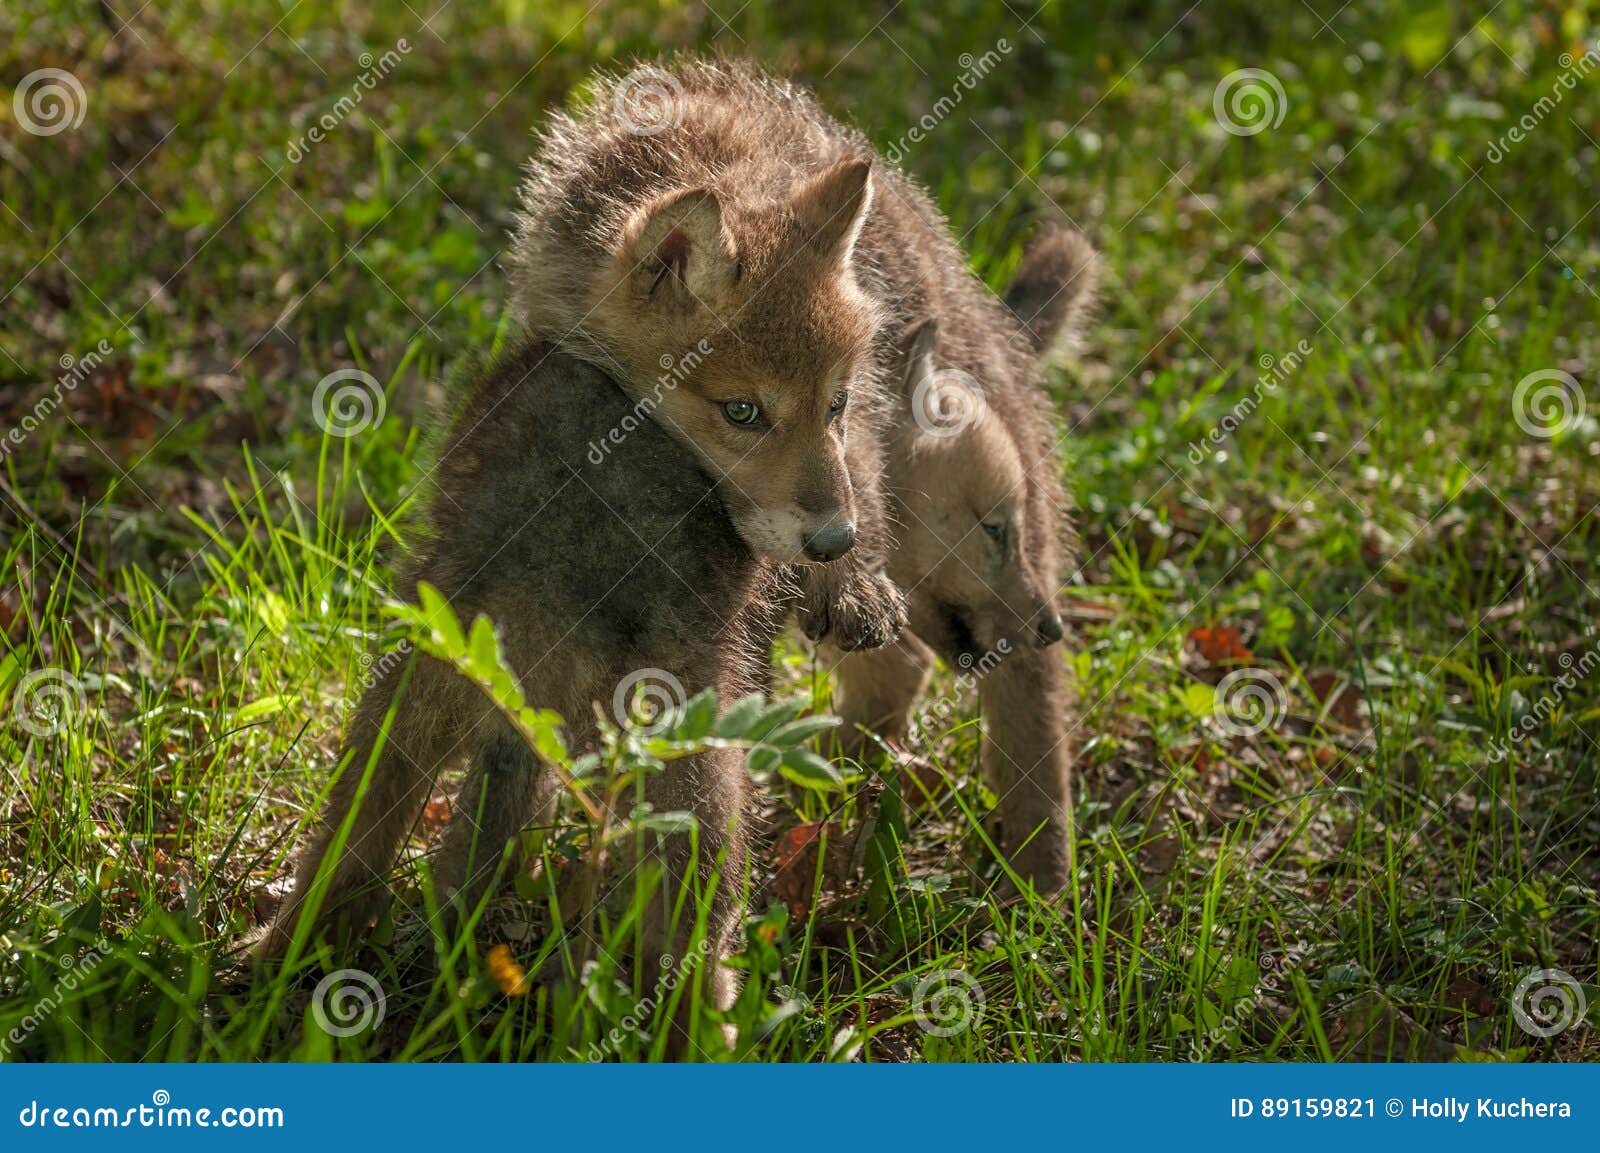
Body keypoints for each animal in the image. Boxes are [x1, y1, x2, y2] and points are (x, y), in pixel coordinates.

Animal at [261, 338, 772, 1016]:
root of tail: (545, 592)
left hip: (444, 633)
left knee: (380, 767)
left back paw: (313, 917)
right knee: (700, 807)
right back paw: (696, 998)